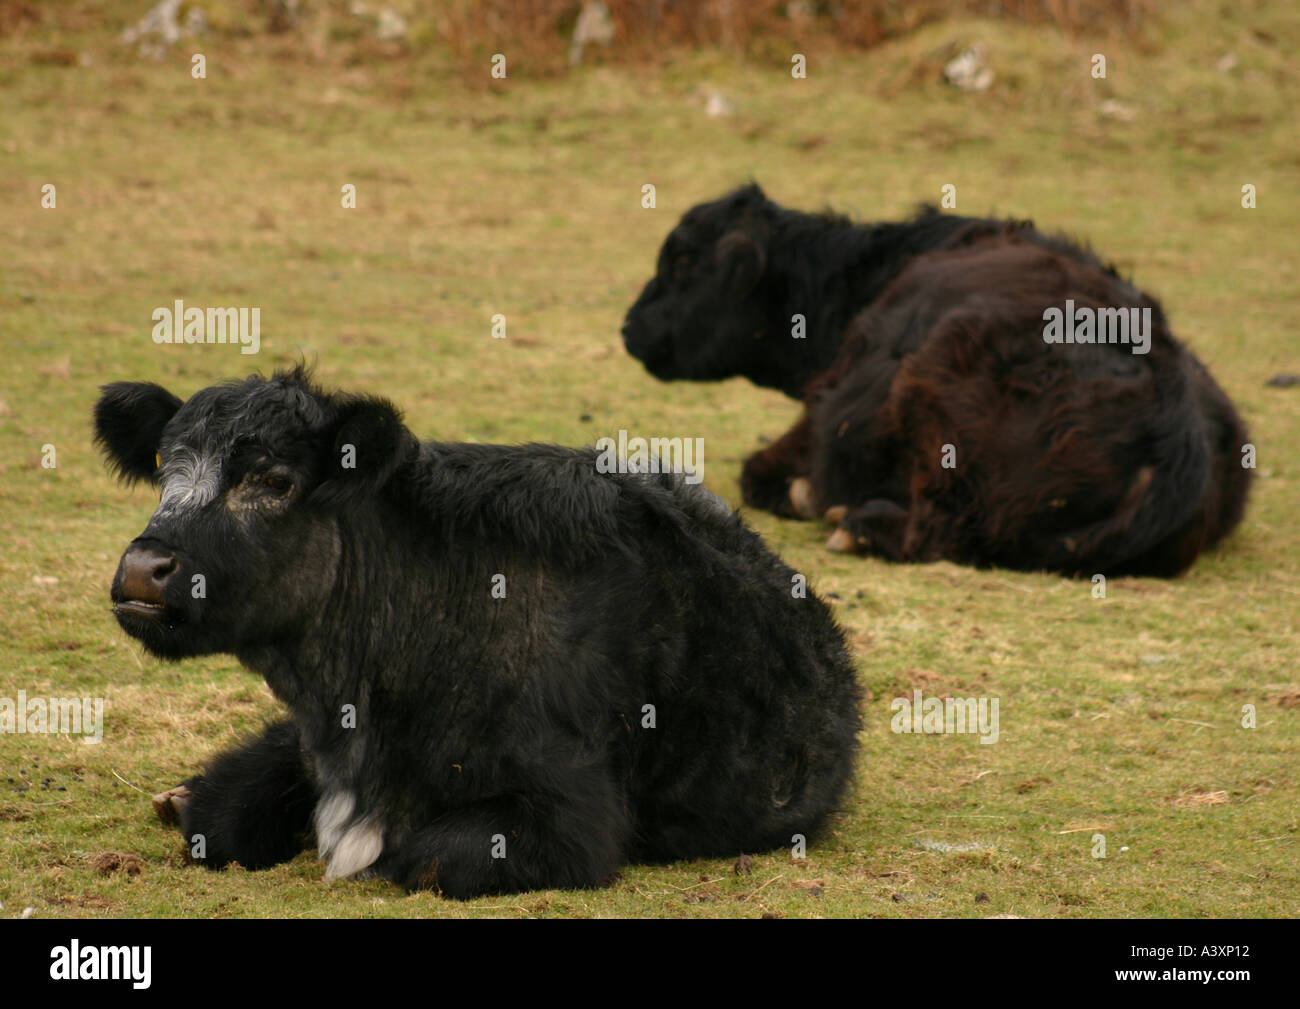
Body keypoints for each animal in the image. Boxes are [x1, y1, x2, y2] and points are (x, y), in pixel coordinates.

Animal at [93, 368, 861, 898]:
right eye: (163, 468)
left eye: (274, 480)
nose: (142, 569)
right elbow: (218, 821)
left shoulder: (572, 822)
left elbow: (424, 855)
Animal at [622, 185, 1250, 577]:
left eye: (681, 262)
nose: (630, 326)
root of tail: (1180, 443)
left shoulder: (824, 409)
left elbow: (758, 472)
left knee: (933, 529)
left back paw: (855, 523)